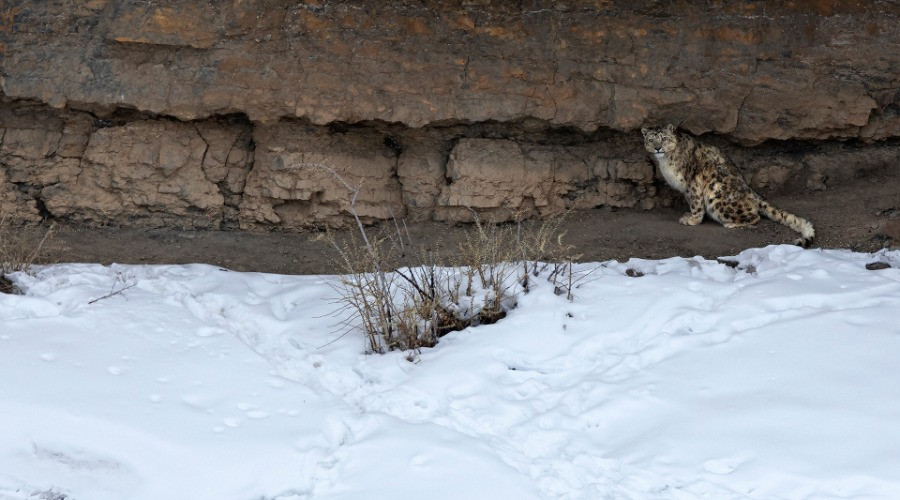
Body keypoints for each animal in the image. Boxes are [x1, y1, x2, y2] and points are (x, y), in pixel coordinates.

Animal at [641, 124, 815, 247]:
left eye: (664, 138)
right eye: (651, 139)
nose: (657, 148)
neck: (665, 162)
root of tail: (751, 191)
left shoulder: (693, 184)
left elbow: (696, 204)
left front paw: (692, 220)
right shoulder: (686, 190)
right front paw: (688, 214)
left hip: (716, 200)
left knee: (755, 216)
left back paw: (730, 223)